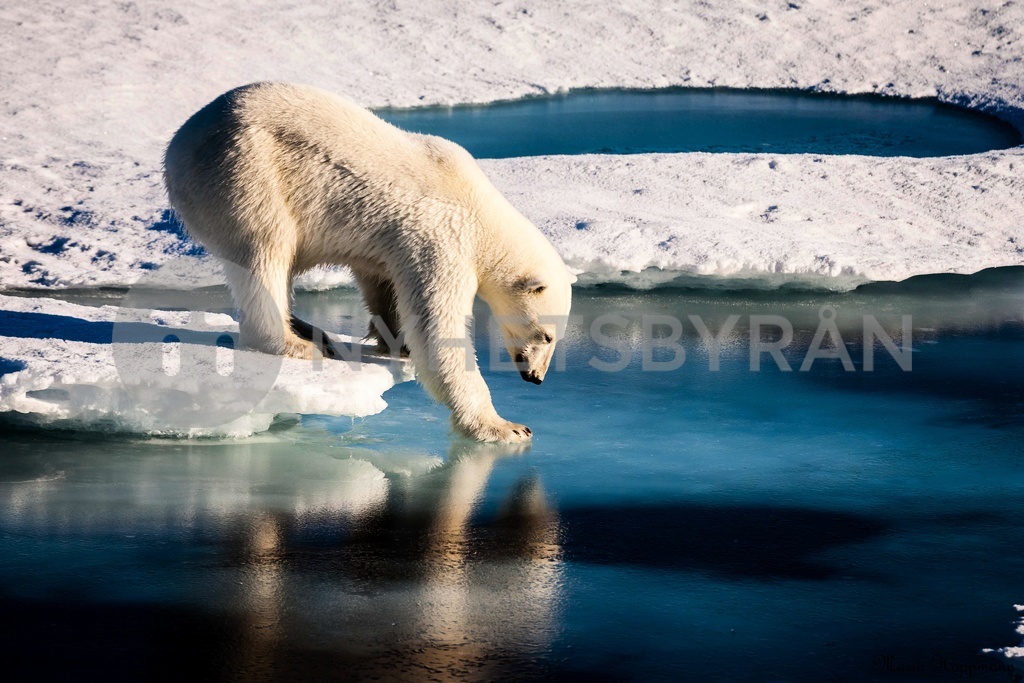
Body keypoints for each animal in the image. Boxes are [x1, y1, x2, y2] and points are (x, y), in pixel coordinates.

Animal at [163, 83, 575, 443]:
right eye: (546, 335)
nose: (535, 377)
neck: (480, 210)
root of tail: (178, 144)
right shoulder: (442, 239)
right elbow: (438, 330)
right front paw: (506, 427)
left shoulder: (393, 244)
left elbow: (383, 284)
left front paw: (396, 342)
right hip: (246, 172)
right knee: (265, 252)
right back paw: (295, 343)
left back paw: (312, 331)